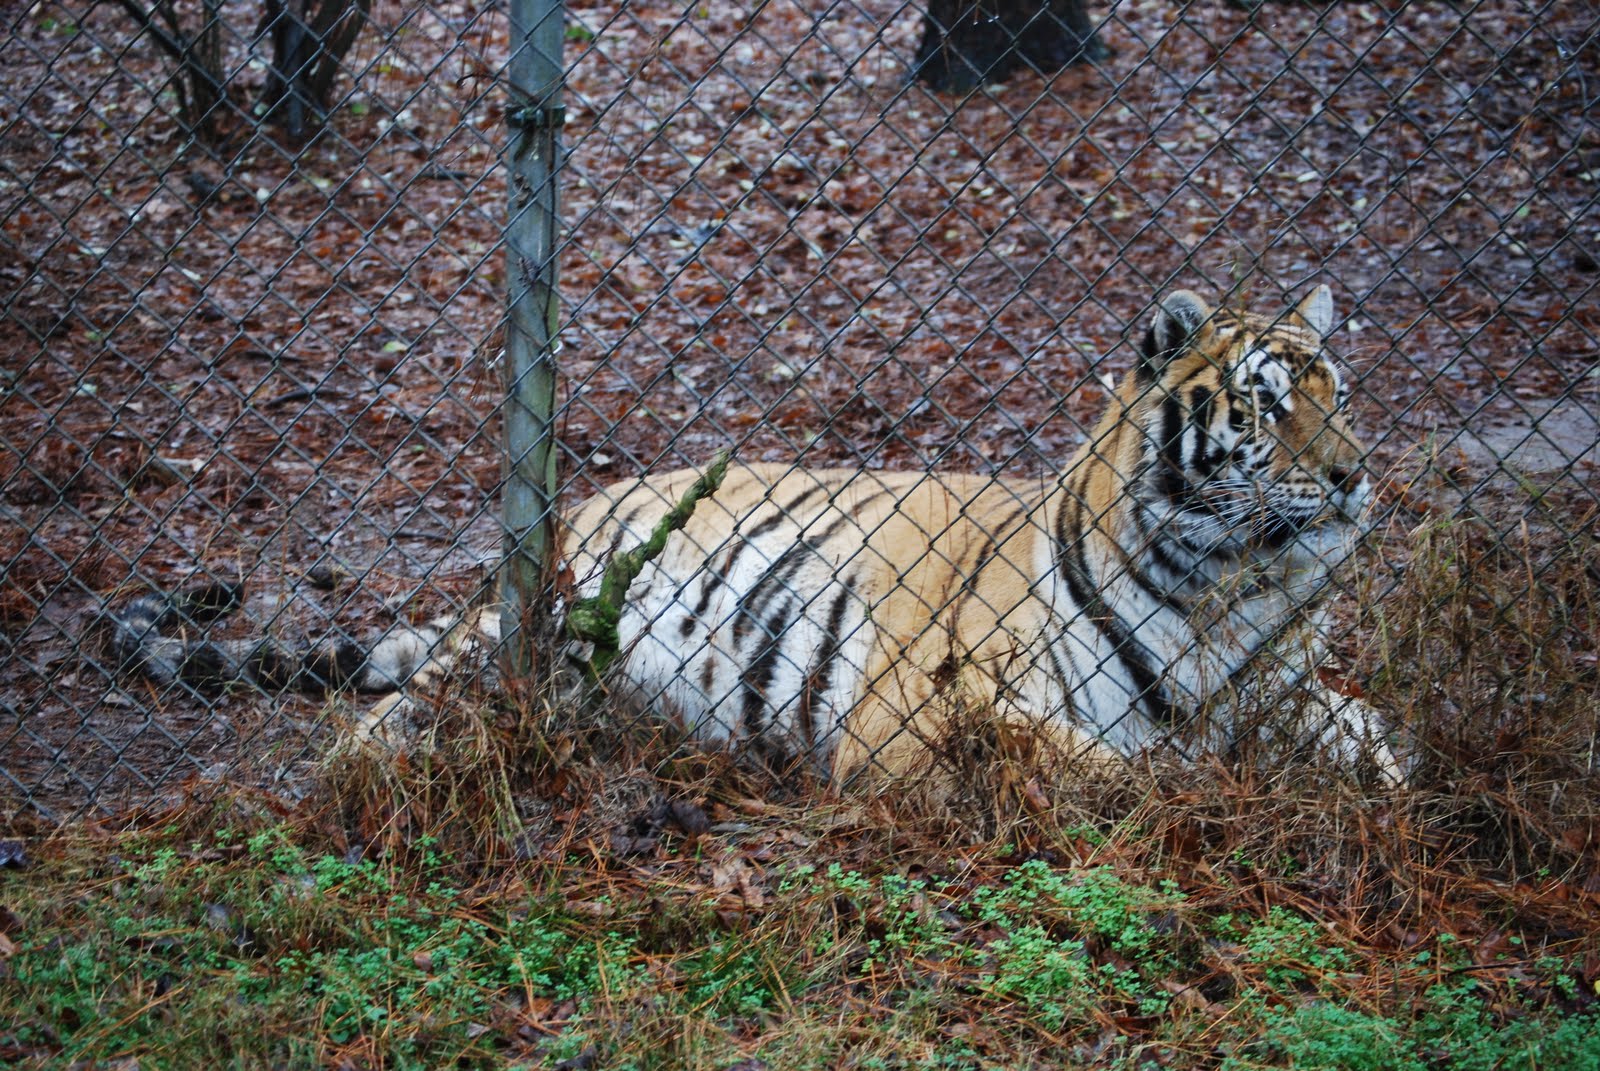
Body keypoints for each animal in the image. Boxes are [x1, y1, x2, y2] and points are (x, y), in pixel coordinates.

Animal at [109, 286, 1402, 784]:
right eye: (1266, 405)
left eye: (1337, 391)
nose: (1354, 477)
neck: (1218, 587)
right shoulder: (920, 708)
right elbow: (1115, 772)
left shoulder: (1287, 686)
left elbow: (1380, 741)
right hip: (510, 641)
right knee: (372, 727)